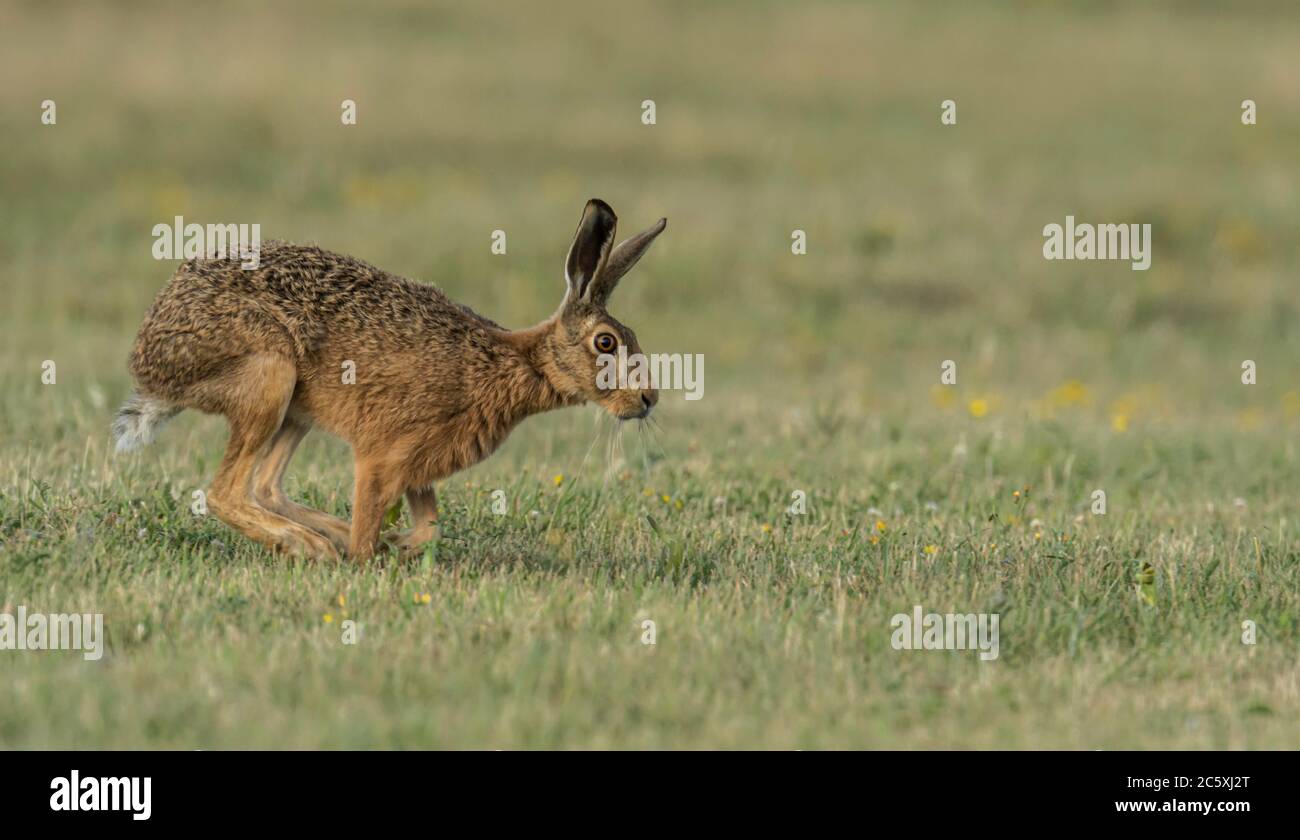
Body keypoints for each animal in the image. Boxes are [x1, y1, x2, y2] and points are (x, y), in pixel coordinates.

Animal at [114, 199, 665, 562]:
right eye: (606, 343)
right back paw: (312, 545)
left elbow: (429, 526)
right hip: (270, 374)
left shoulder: (419, 463)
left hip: (295, 408)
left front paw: (395, 544)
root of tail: (150, 360)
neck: (518, 360)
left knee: (266, 485)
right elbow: (383, 515)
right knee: (225, 493)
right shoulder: (385, 454)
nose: (648, 398)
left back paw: (326, 536)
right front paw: (365, 556)